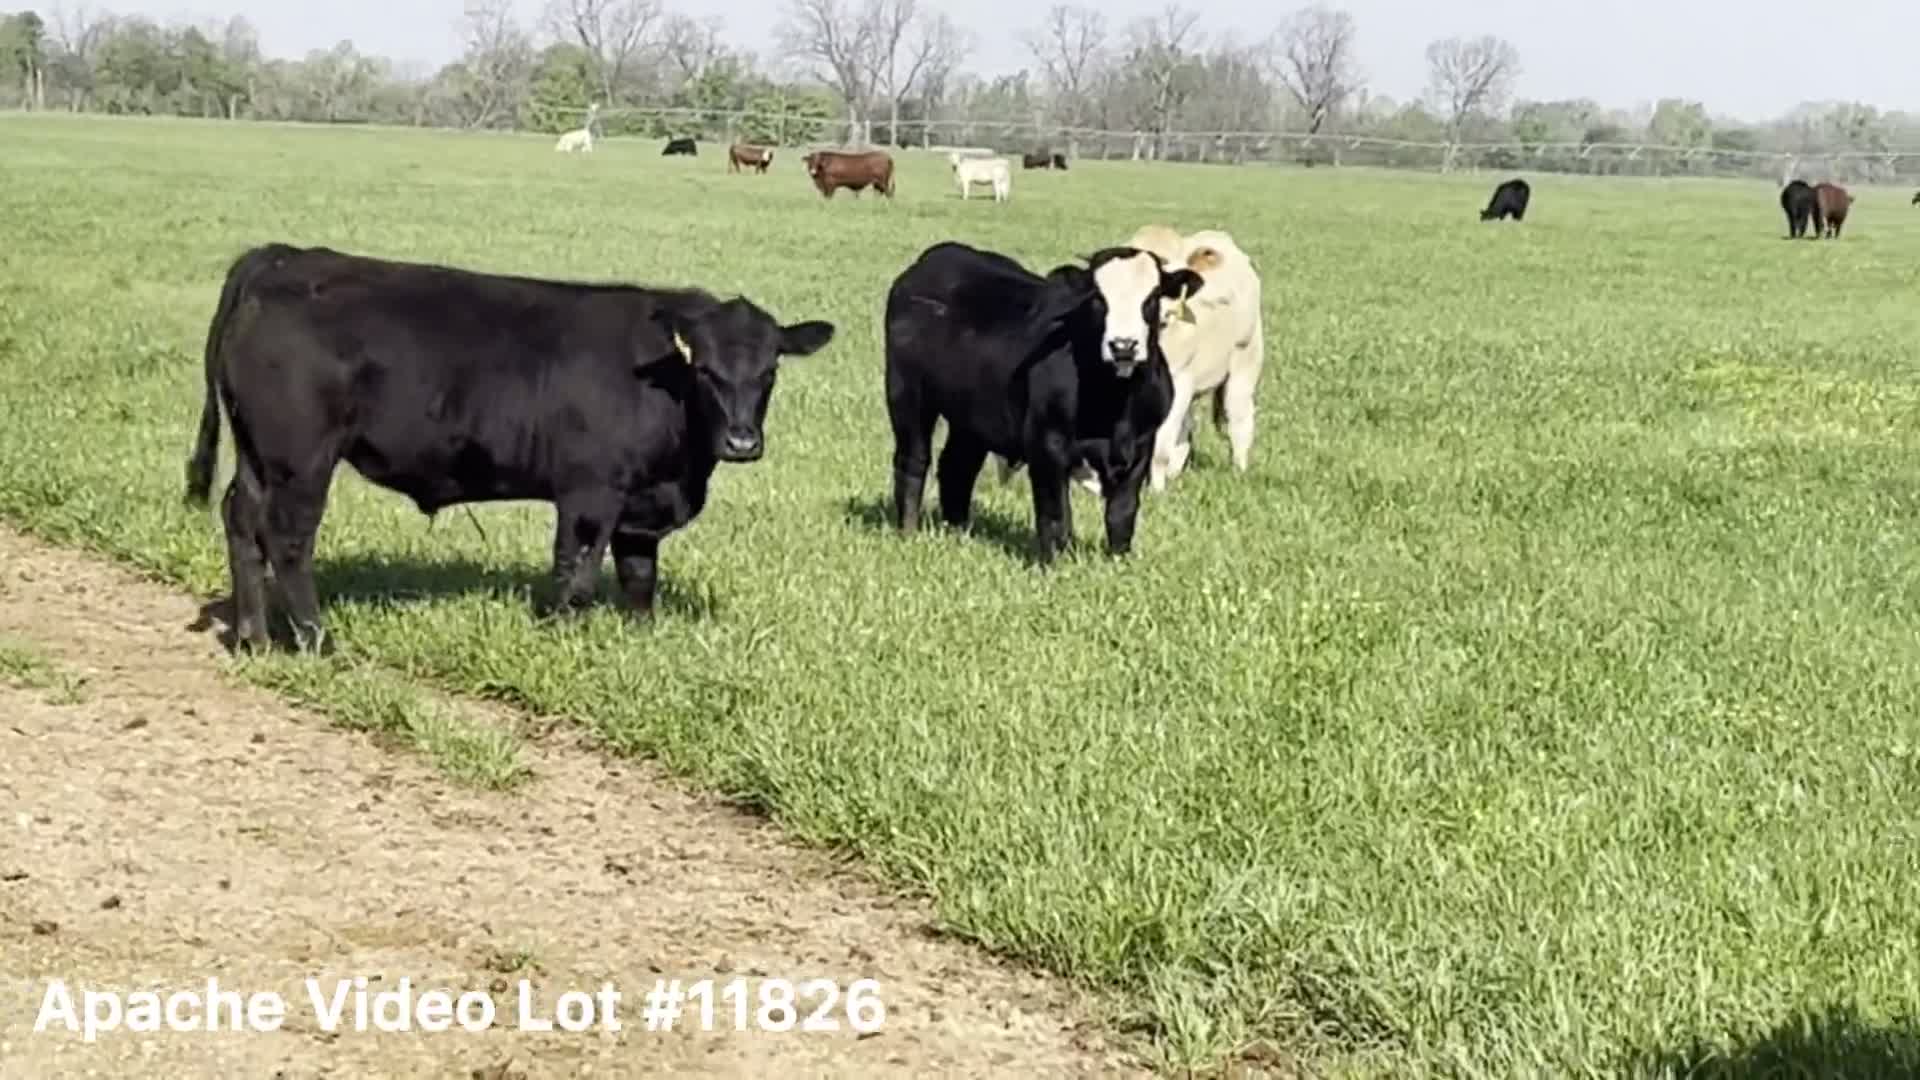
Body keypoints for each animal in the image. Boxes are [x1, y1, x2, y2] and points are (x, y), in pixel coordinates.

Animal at [181, 243, 835, 653]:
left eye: (770, 370)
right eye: (705, 370)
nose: (742, 440)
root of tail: (286, 257)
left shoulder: (639, 506)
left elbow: (638, 578)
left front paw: (641, 642)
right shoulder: (589, 494)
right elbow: (575, 574)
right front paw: (562, 637)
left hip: (258, 454)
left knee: (241, 520)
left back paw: (254, 638)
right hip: (301, 460)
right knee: (287, 538)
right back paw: (316, 640)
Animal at [882, 241, 1206, 564]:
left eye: (1152, 297)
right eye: (1098, 298)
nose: (1123, 346)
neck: (1114, 405)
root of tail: (937, 256)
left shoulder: (1141, 445)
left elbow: (1122, 512)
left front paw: (1119, 560)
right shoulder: (1046, 443)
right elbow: (1055, 513)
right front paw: (1055, 563)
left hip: (971, 419)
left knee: (956, 467)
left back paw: (960, 530)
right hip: (906, 394)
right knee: (913, 461)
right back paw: (908, 531)